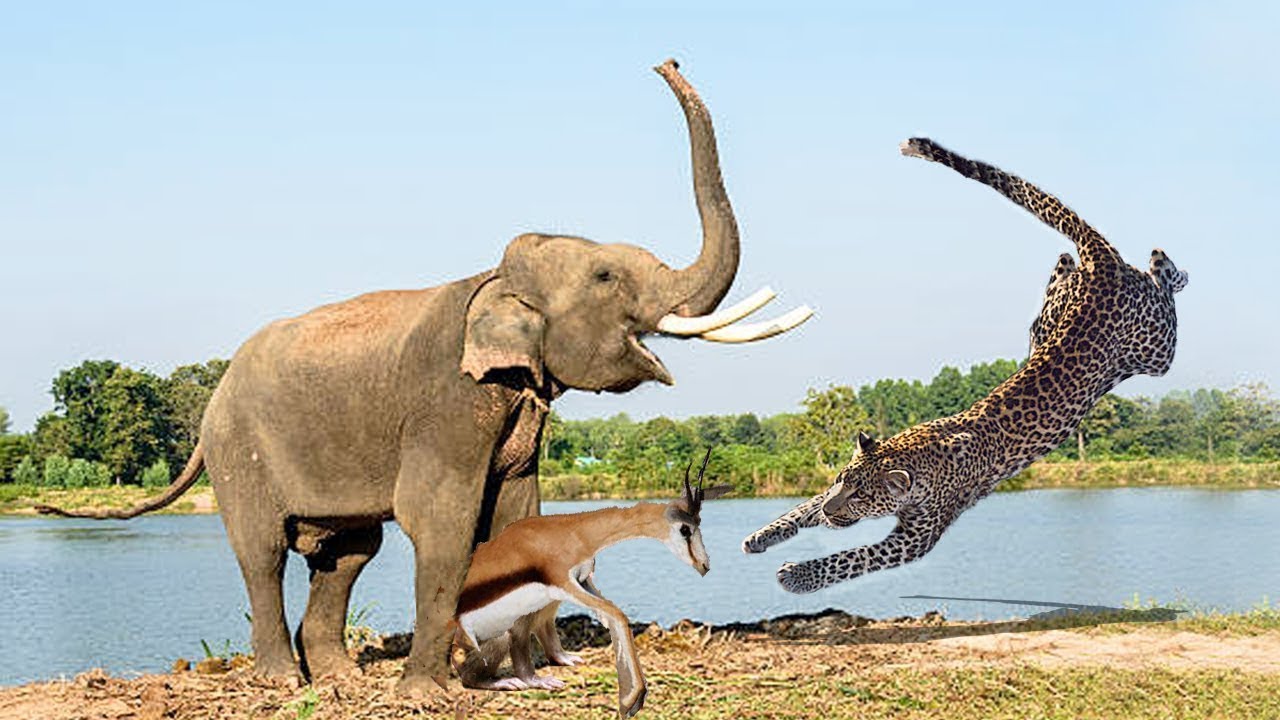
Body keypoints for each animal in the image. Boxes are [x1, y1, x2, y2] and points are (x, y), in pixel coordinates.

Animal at [452, 451, 730, 718]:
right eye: (685, 529)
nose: (704, 566)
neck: (575, 532)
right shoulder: (561, 582)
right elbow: (617, 615)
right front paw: (631, 699)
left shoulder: (582, 579)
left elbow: (613, 613)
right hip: (498, 632)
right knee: (469, 673)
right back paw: (511, 681)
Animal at [743, 137, 1189, 594]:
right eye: (838, 482)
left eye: (861, 496)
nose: (833, 511)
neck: (916, 457)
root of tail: (1101, 264)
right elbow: (804, 506)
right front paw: (765, 534)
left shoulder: (912, 541)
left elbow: (849, 559)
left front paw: (799, 575)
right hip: (1056, 317)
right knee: (1062, 271)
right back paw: (1079, 264)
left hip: (1154, 348)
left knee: (1163, 295)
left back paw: (1167, 266)